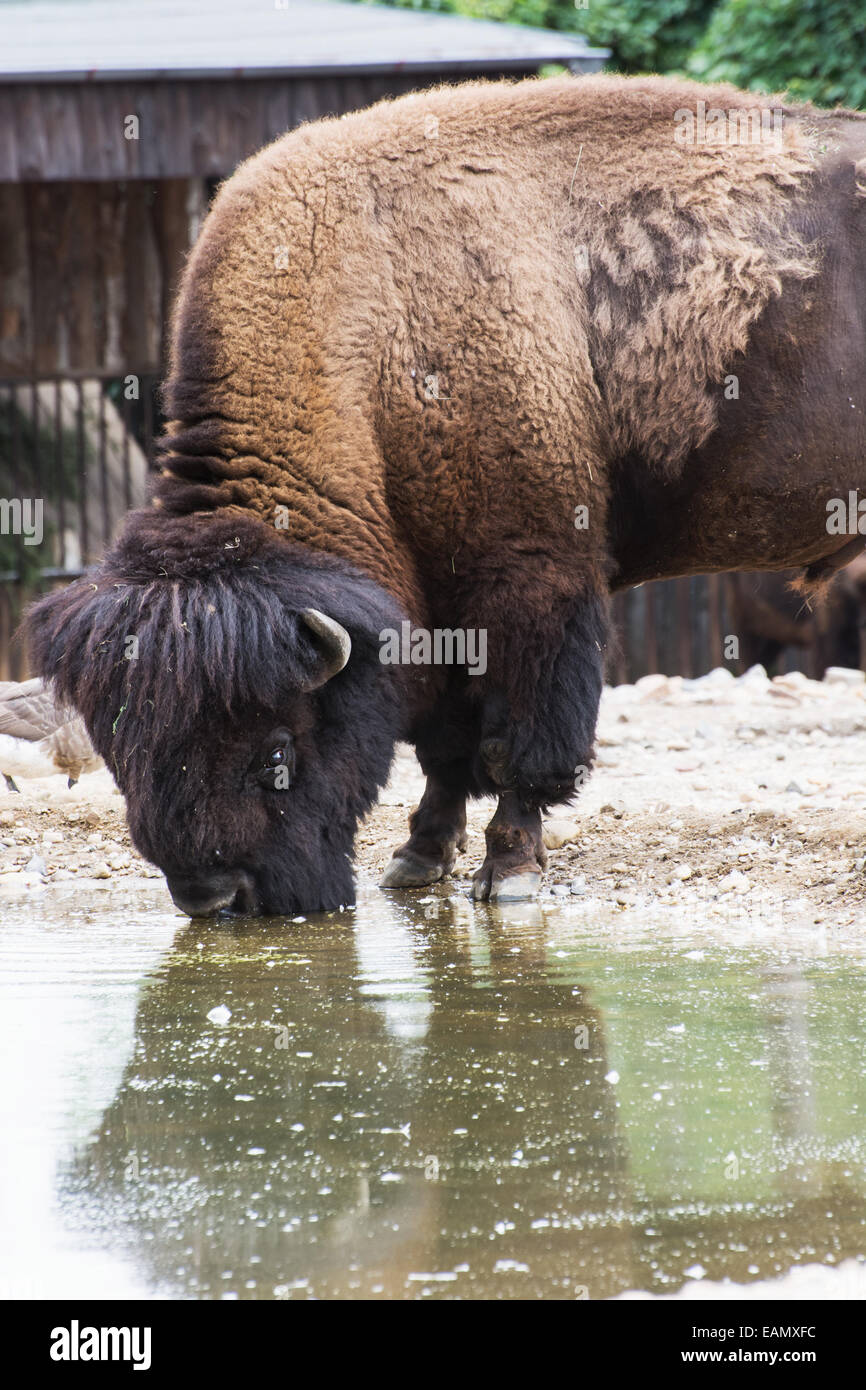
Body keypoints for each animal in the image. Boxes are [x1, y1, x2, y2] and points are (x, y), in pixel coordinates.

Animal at [26, 74, 866, 915]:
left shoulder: (530, 577)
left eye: (276, 750)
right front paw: (419, 857)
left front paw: (509, 871)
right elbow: (446, 747)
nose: (213, 896)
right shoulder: (435, 603)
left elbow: (521, 738)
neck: (369, 331)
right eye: (121, 754)